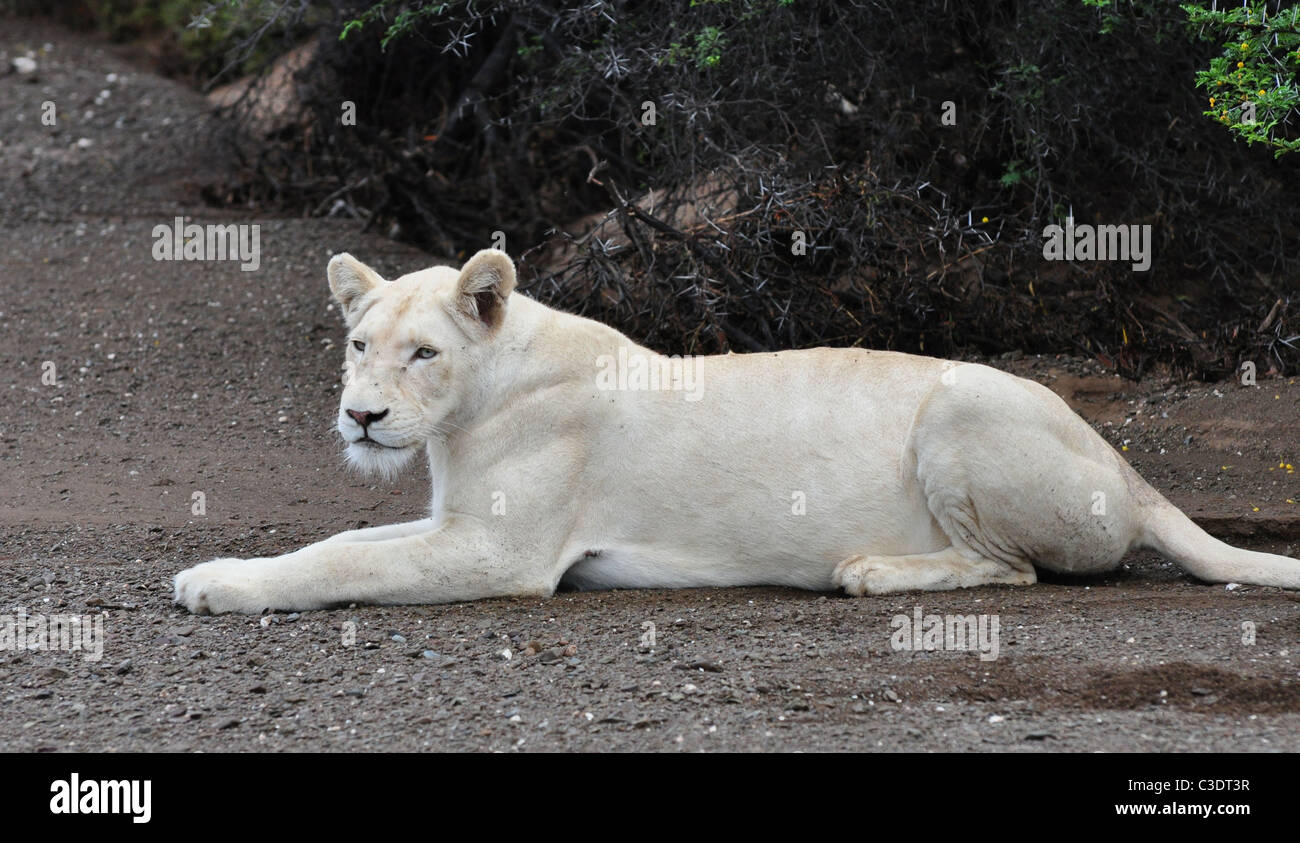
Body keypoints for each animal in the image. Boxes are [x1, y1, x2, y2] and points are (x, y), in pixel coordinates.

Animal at [173, 249, 1300, 614]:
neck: (461, 415)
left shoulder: (500, 553)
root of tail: (1128, 465)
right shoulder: (454, 524)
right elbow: (343, 538)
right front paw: (220, 568)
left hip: (958, 409)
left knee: (1013, 569)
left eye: (422, 354)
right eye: (360, 343)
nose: (361, 416)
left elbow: (340, 563)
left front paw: (218, 587)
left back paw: (870, 573)